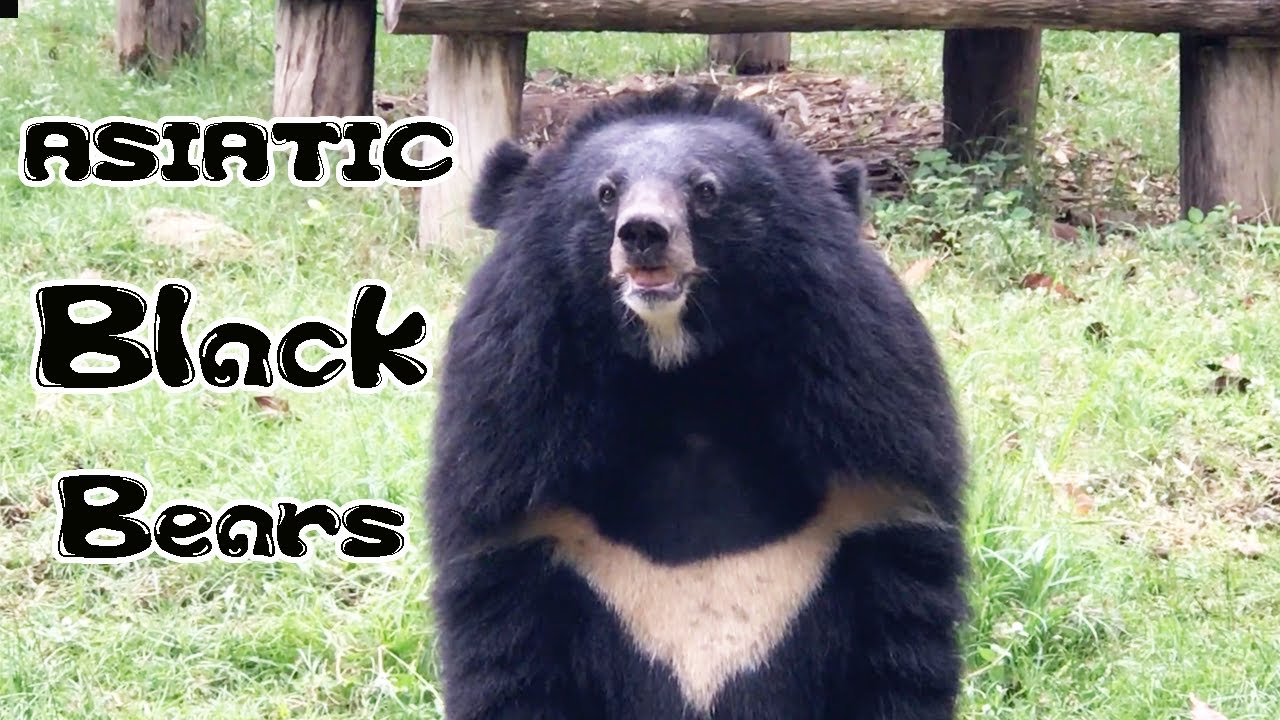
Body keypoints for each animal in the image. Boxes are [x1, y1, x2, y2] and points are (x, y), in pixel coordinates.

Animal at [427, 84, 969, 720]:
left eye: (706, 190)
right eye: (606, 193)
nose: (644, 234)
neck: (682, 376)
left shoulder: (874, 416)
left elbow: (898, 642)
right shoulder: (510, 426)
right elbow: (506, 650)